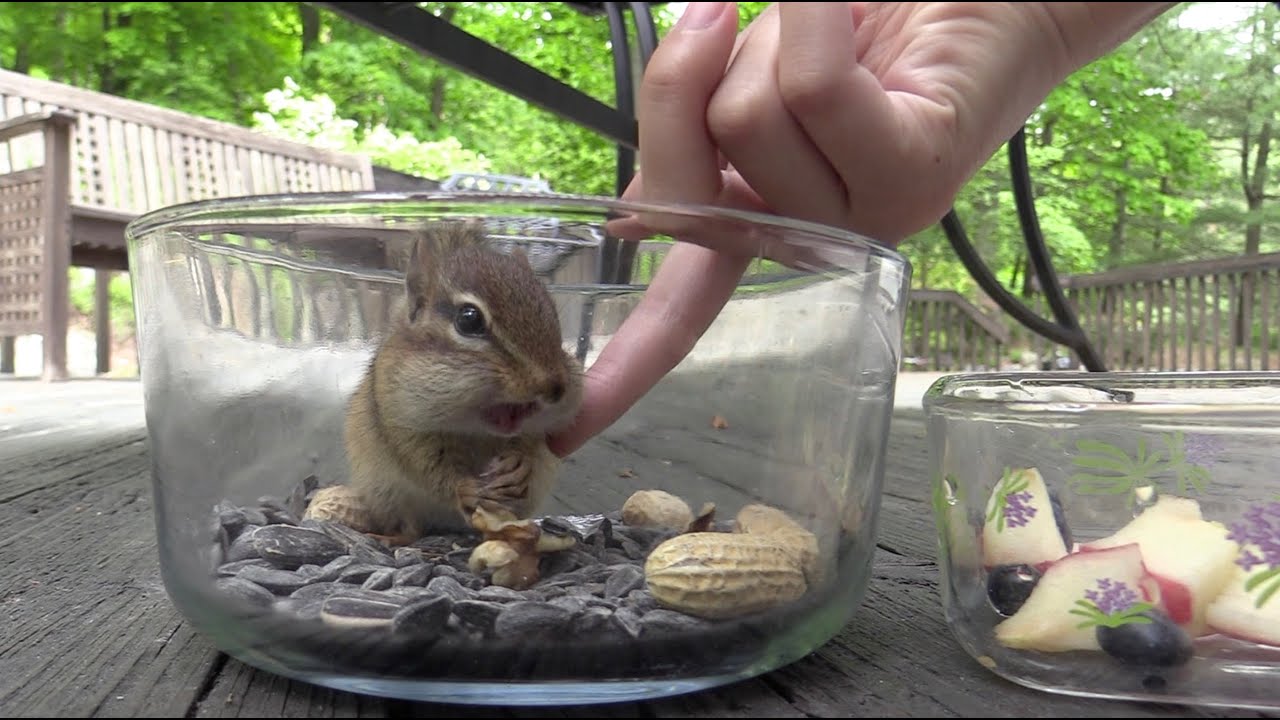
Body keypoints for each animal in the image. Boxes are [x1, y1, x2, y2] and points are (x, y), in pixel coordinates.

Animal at [305, 221, 584, 546]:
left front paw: (521, 461)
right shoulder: (402, 424)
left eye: (551, 310)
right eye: (469, 319)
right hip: (388, 494)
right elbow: (427, 465)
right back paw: (391, 538)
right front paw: (465, 489)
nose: (556, 388)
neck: (475, 428)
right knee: (411, 526)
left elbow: (533, 440)